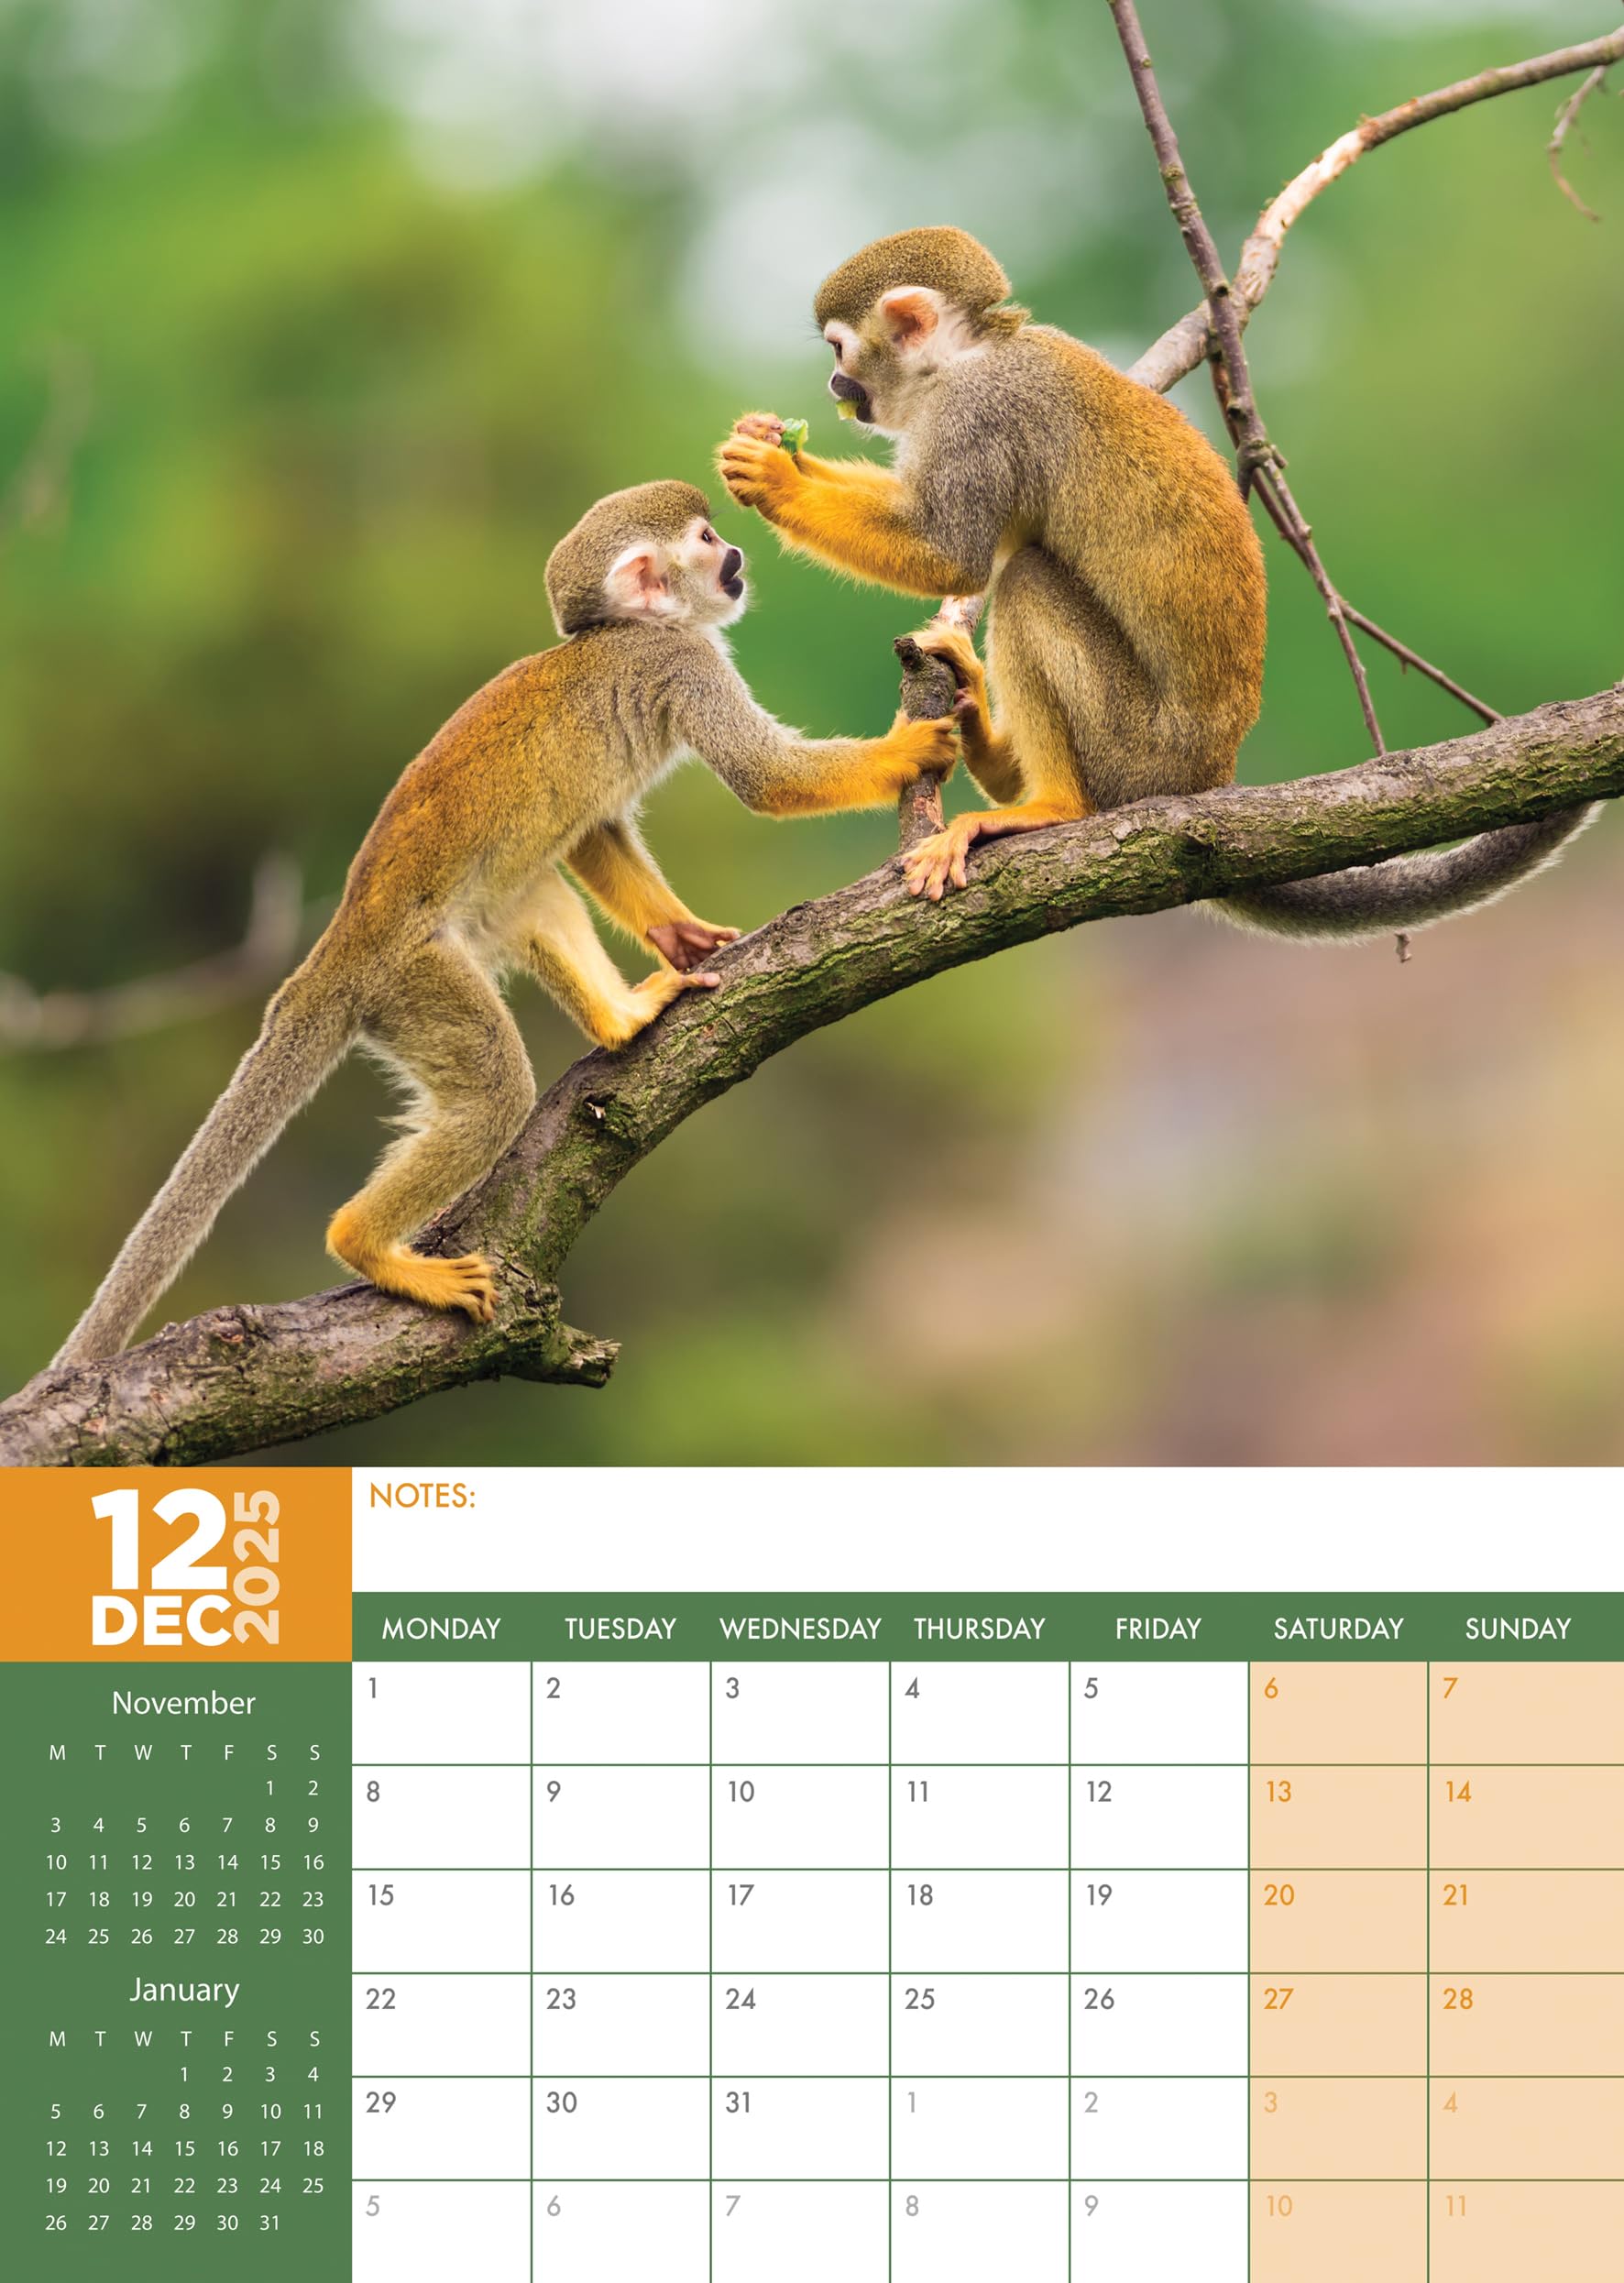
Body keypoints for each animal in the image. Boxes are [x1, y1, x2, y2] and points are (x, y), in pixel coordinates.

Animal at [49, 479, 955, 1370]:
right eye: (704, 541)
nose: (735, 556)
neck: (629, 632)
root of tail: (333, 953)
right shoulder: (683, 665)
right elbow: (763, 778)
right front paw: (907, 751)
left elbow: (593, 831)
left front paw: (678, 935)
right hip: (411, 982)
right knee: (493, 1087)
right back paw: (367, 1245)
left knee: (535, 891)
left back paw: (620, 1019)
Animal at [719, 225, 1596, 920]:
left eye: (839, 350)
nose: (835, 386)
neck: (968, 357)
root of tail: (1209, 777)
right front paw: (766, 444)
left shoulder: (979, 415)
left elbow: (951, 552)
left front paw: (776, 478)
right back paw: (988, 743)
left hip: (1136, 748)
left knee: (1028, 580)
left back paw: (1047, 804)